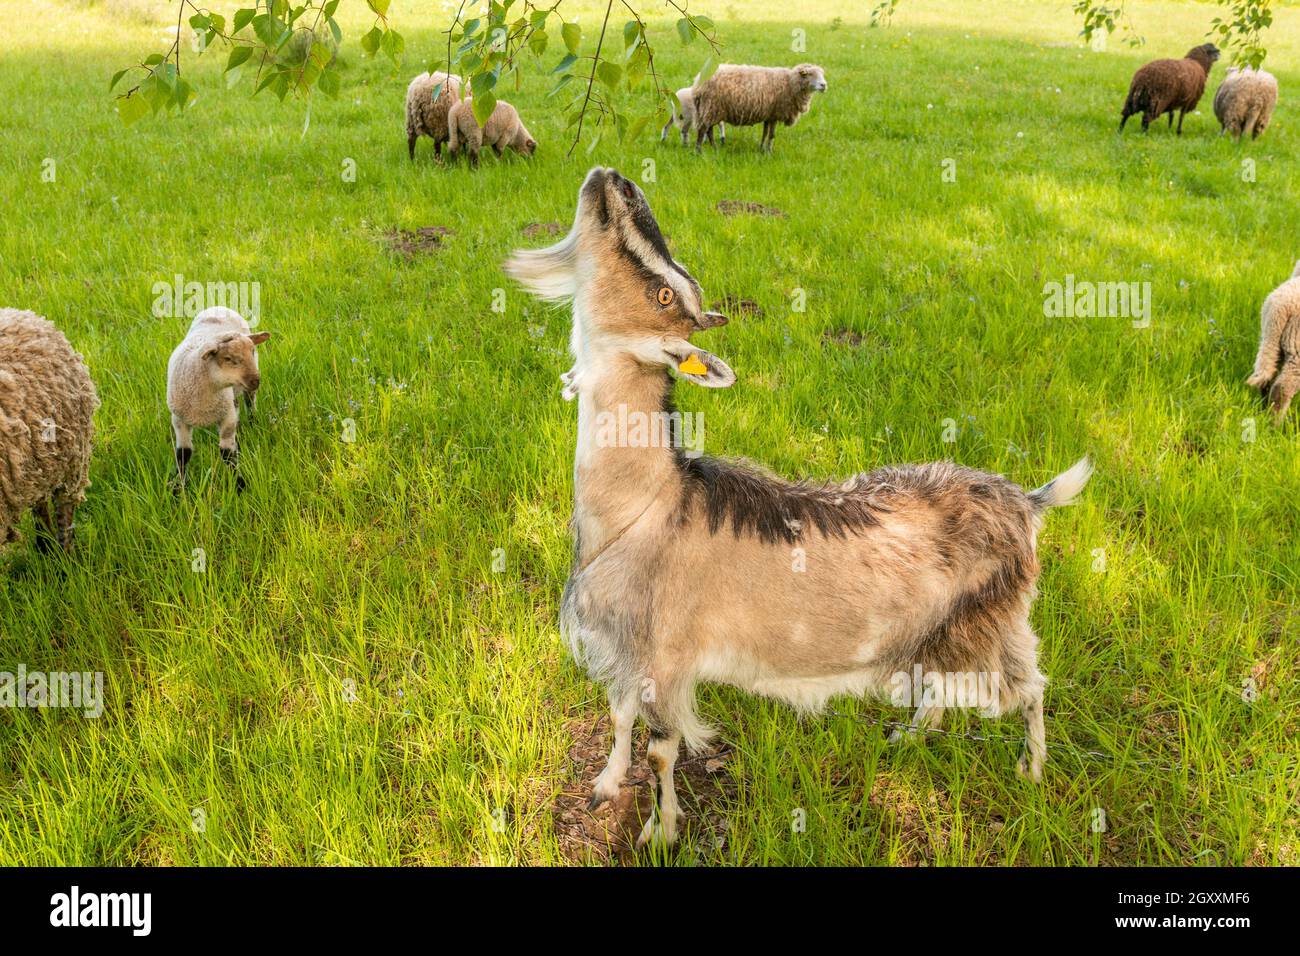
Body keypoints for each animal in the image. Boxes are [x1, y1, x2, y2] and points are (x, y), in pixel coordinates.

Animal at [505, 167, 1092, 847]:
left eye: (664, 293)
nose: (614, 179)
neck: (644, 507)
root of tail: (1027, 501)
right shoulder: (629, 648)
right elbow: (620, 714)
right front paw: (605, 786)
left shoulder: (665, 654)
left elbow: (661, 749)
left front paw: (659, 832)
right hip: (957, 629)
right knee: (953, 686)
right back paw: (908, 736)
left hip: (992, 623)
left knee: (1028, 689)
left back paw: (1031, 770)